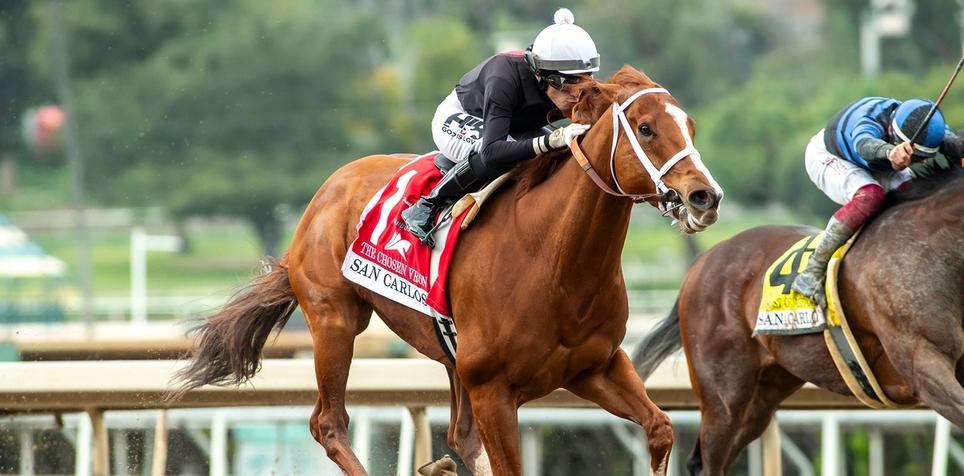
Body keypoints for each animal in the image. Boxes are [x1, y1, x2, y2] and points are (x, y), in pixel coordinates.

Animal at [171, 65, 724, 475]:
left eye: (692, 127)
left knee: (456, 438)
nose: (705, 196)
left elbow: (660, 429)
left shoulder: (595, 367)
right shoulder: (494, 390)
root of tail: (326, 192)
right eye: (647, 129)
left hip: (450, 358)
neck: (555, 263)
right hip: (335, 320)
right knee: (328, 422)